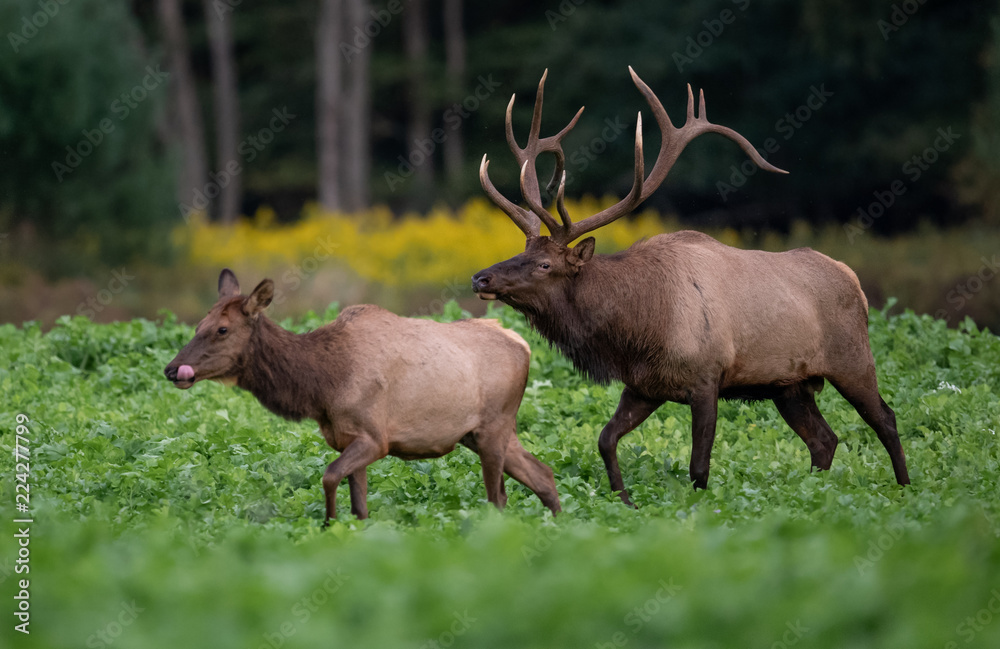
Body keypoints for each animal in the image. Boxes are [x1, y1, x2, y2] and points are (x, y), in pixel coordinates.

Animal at [164, 269, 561, 522]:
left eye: (222, 329)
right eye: (197, 326)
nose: (172, 369)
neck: (322, 386)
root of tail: (522, 343)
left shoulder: (374, 437)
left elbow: (328, 477)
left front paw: (327, 525)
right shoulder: (347, 438)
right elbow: (359, 506)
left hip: (494, 425)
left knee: (499, 497)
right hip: (478, 434)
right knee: (543, 474)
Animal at [471, 68, 910, 506]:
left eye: (545, 264)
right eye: (521, 251)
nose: (480, 277)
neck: (636, 331)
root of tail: (853, 278)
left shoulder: (705, 378)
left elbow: (699, 467)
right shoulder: (644, 386)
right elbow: (605, 440)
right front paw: (625, 502)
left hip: (851, 358)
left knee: (885, 419)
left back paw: (906, 488)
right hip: (790, 384)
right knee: (824, 440)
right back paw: (814, 493)